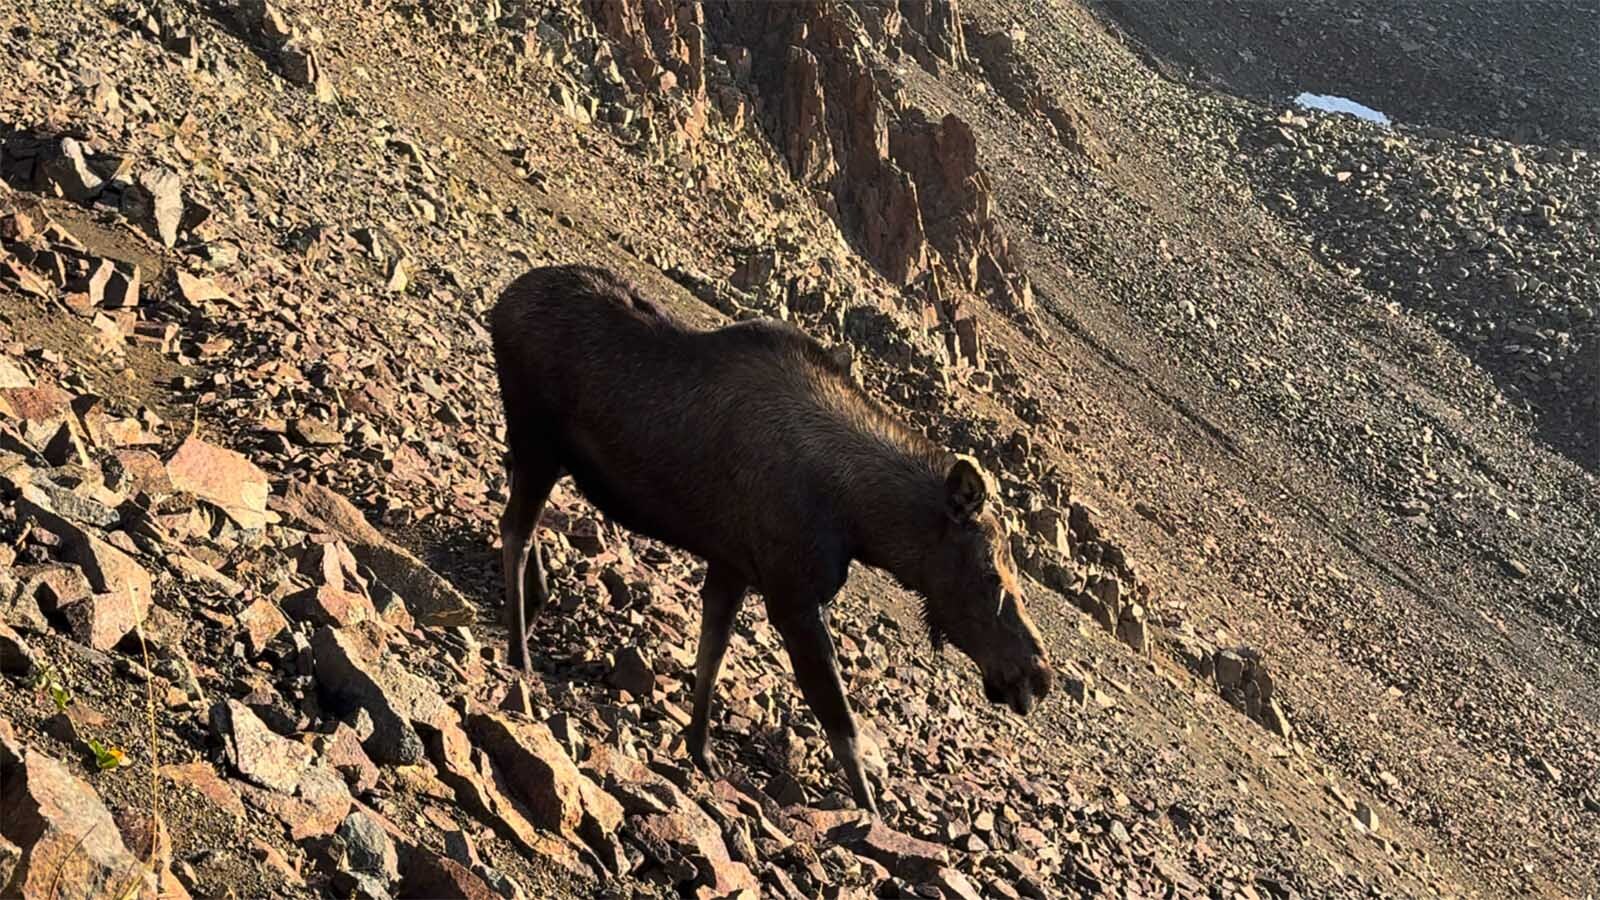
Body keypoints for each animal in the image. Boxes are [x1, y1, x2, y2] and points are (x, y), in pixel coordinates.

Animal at [490, 264, 1053, 814]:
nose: (1036, 675)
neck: (862, 522)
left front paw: (701, 750)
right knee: (515, 530)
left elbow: (711, 658)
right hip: (537, 438)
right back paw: (520, 650)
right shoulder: (794, 599)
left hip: (547, 453)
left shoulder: (732, 566)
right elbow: (841, 724)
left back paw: (538, 602)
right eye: (991, 576)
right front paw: (869, 812)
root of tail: (505, 298)